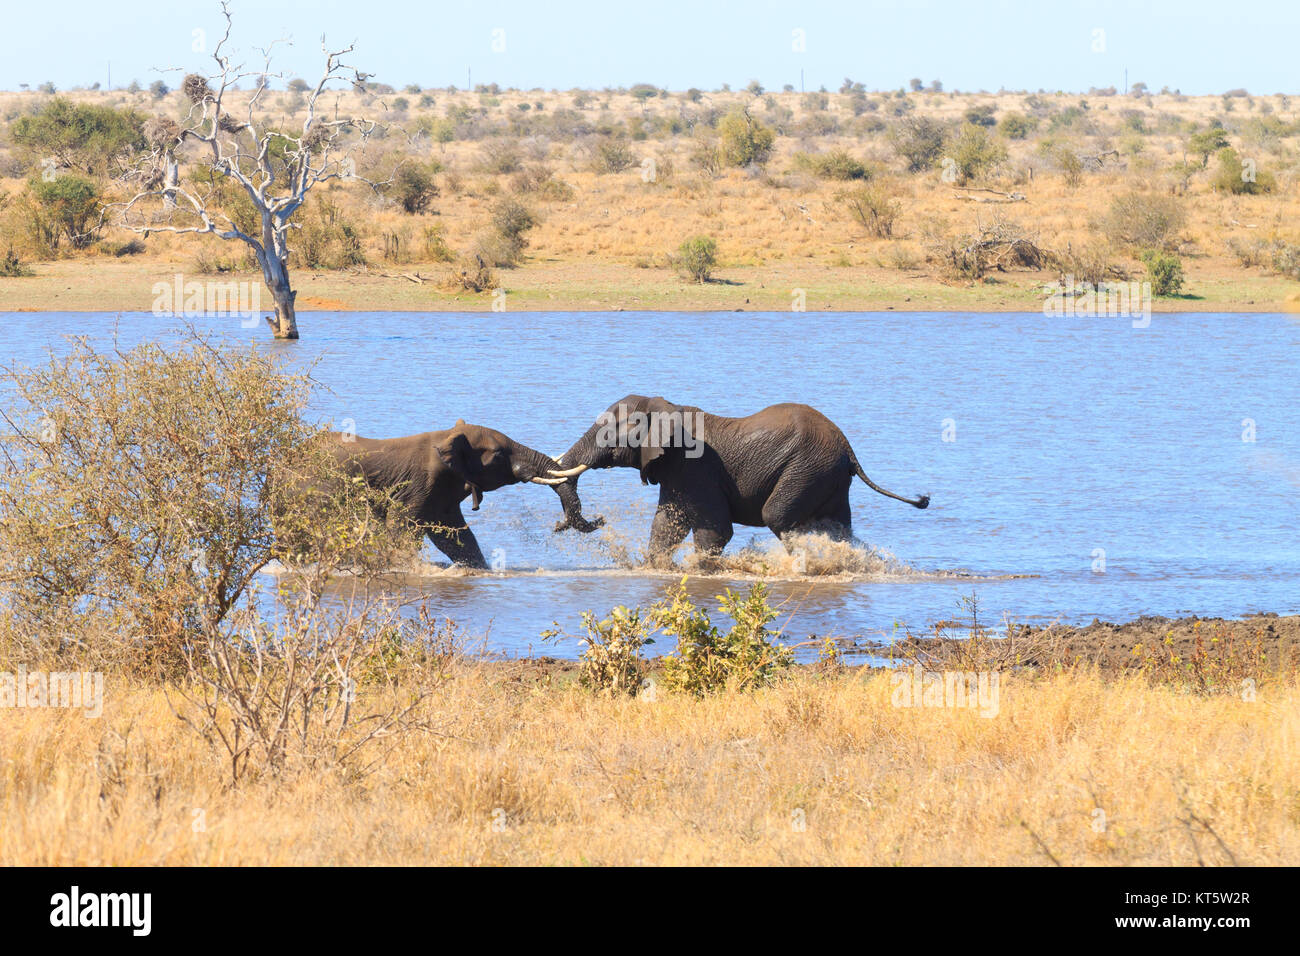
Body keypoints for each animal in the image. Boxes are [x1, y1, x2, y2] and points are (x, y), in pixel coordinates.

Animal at [316, 420, 603, 568]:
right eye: (498, 455)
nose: (601, 520)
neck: (447, 436)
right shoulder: (419, 485)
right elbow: (400, 528)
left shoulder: (441, 492)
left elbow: (457, 537)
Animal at [545, 395, 928, 565]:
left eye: (608, 433)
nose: (599, 520)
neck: (665, 406)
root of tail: (848, 448)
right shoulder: (675, 469)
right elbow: (667, 524)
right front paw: (657, 567)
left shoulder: (696, 467)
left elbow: (714, 530)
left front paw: (701, 570)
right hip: (829, 477)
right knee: (838, 527)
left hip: (807, 469)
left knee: (779, 516)